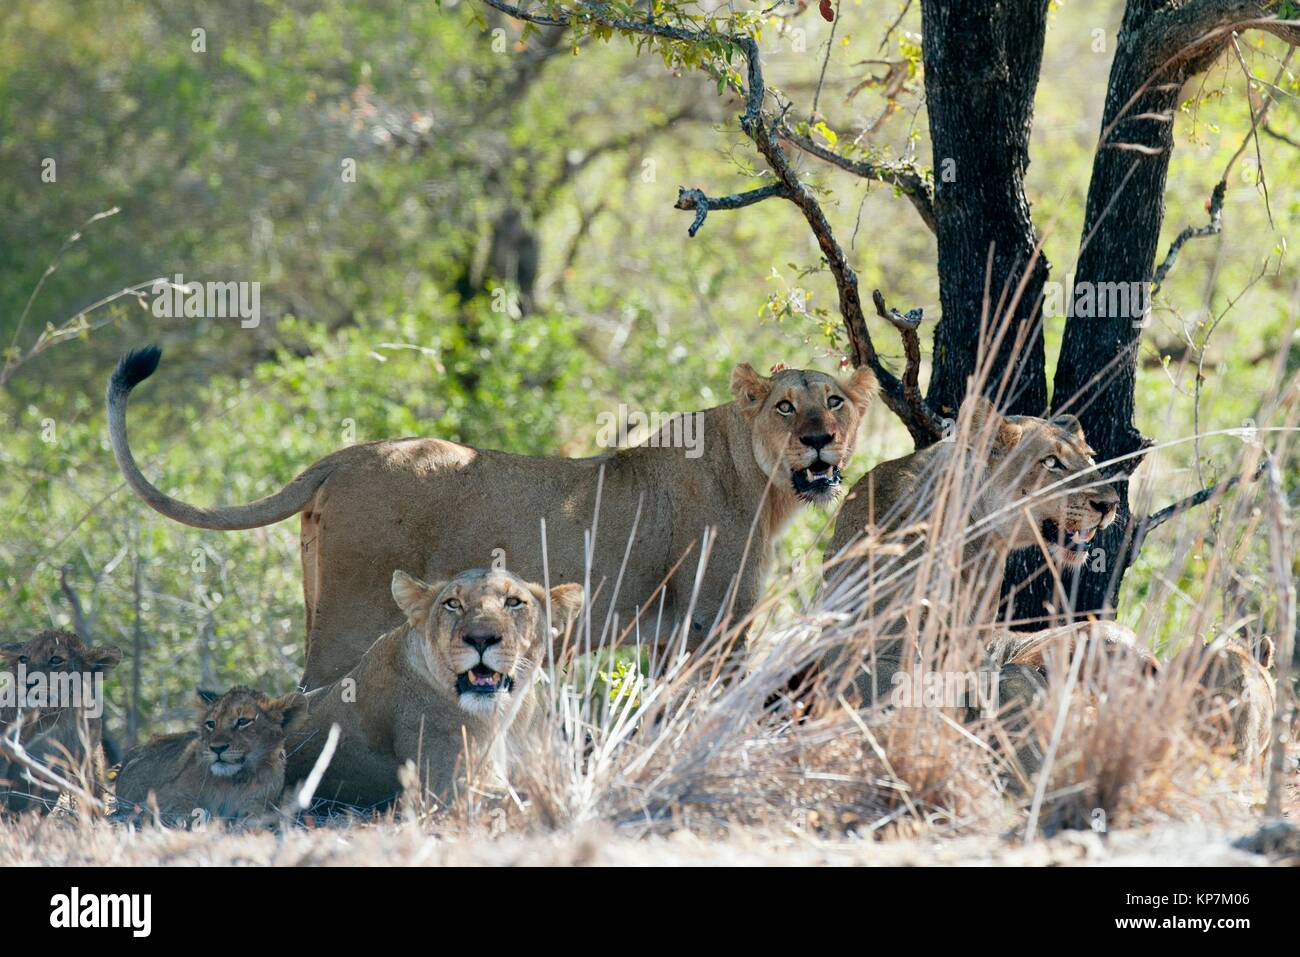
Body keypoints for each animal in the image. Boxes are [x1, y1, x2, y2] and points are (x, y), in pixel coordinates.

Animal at [0, 629, 122, 815]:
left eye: (56, 659)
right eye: (23, 659)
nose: (27, 682)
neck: (60, 714)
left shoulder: (88, 754)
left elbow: (94, 790)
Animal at [107, 347, 877, 688]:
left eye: (835, 400)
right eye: (786, 405)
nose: (820, 439)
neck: (762, 485)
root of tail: (345, 454)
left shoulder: (668, 635)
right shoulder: (714, 624)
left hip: (315, 600)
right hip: (348, 621)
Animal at [114, 686, 307, 823]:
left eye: (243, 721)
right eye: (211, 724)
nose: (217, 748)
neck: (233, 782)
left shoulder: (262, 800)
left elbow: (256, 813)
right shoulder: (162, 794)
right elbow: (182, 805)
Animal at [282, 567, 584, 811]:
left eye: (513, 602)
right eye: (453, 604)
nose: (481, 638)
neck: (504, 717)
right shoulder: (448, 788)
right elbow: (518, 800)